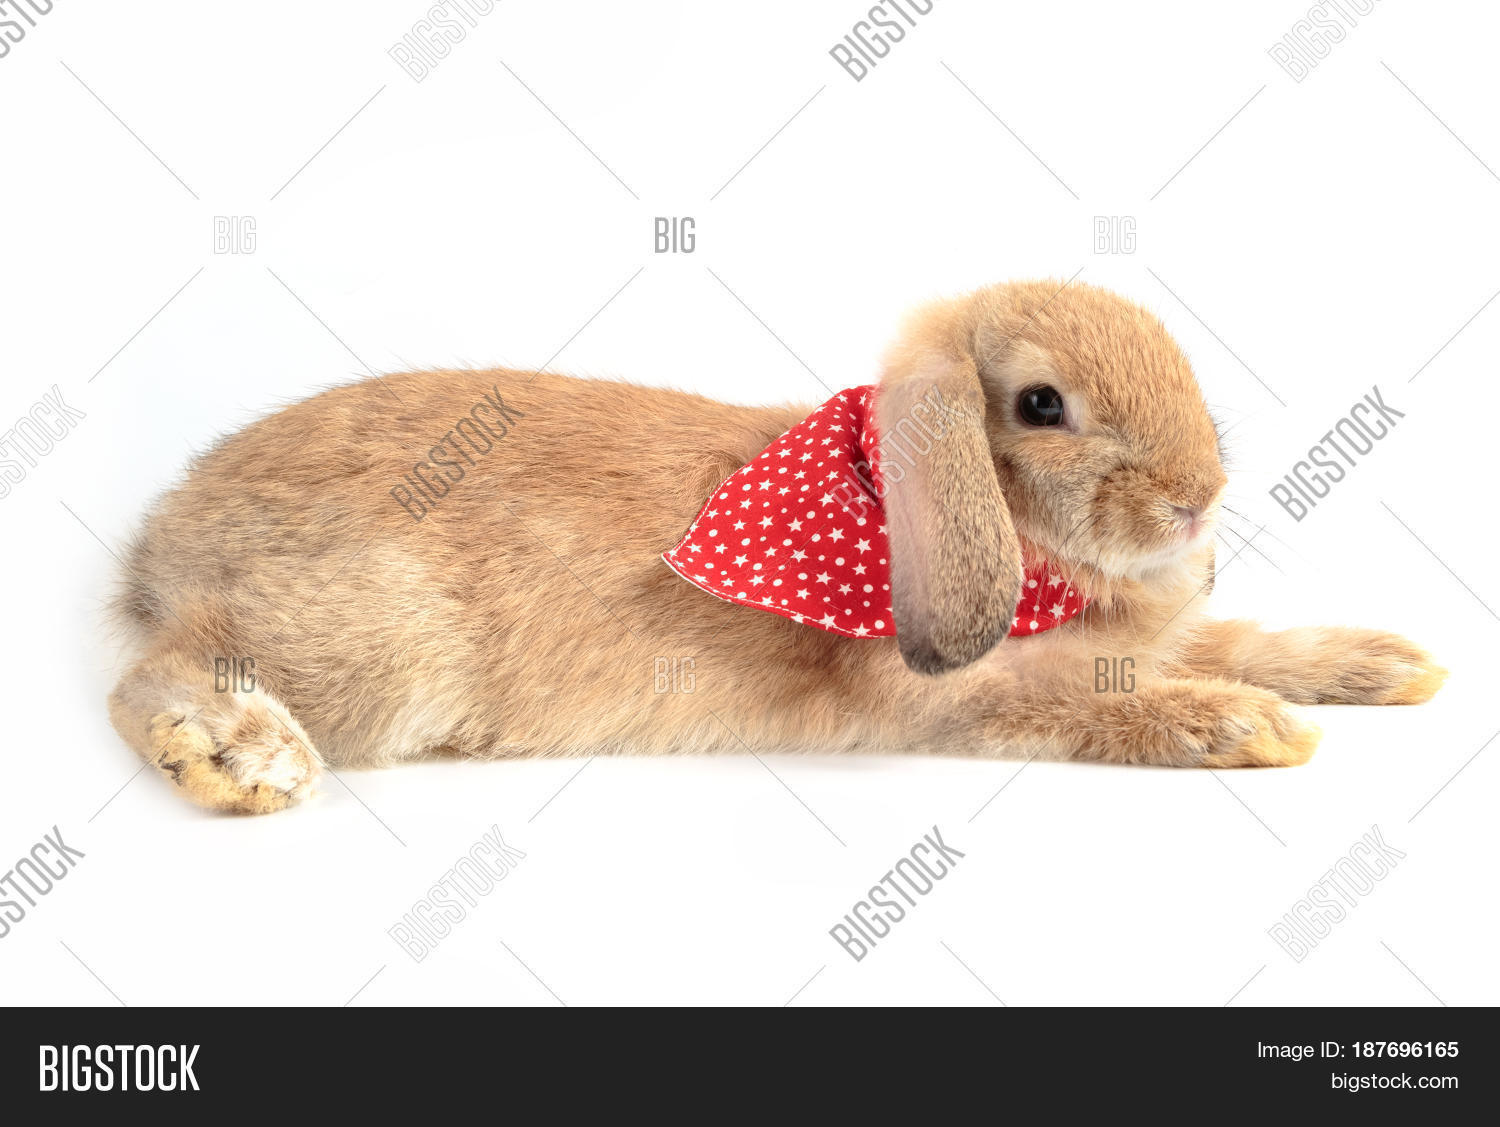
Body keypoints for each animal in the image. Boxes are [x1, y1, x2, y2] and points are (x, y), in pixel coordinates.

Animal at [106, 280, 1446, 815]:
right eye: (1041, 404)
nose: (1196, 500)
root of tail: (165, 539)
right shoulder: (951, 701)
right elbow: (1104, 700)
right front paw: (1246, 728)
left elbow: (1236, 638)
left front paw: (1387, 666)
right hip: (385, 650)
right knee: (154, 675)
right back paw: (240, 755)